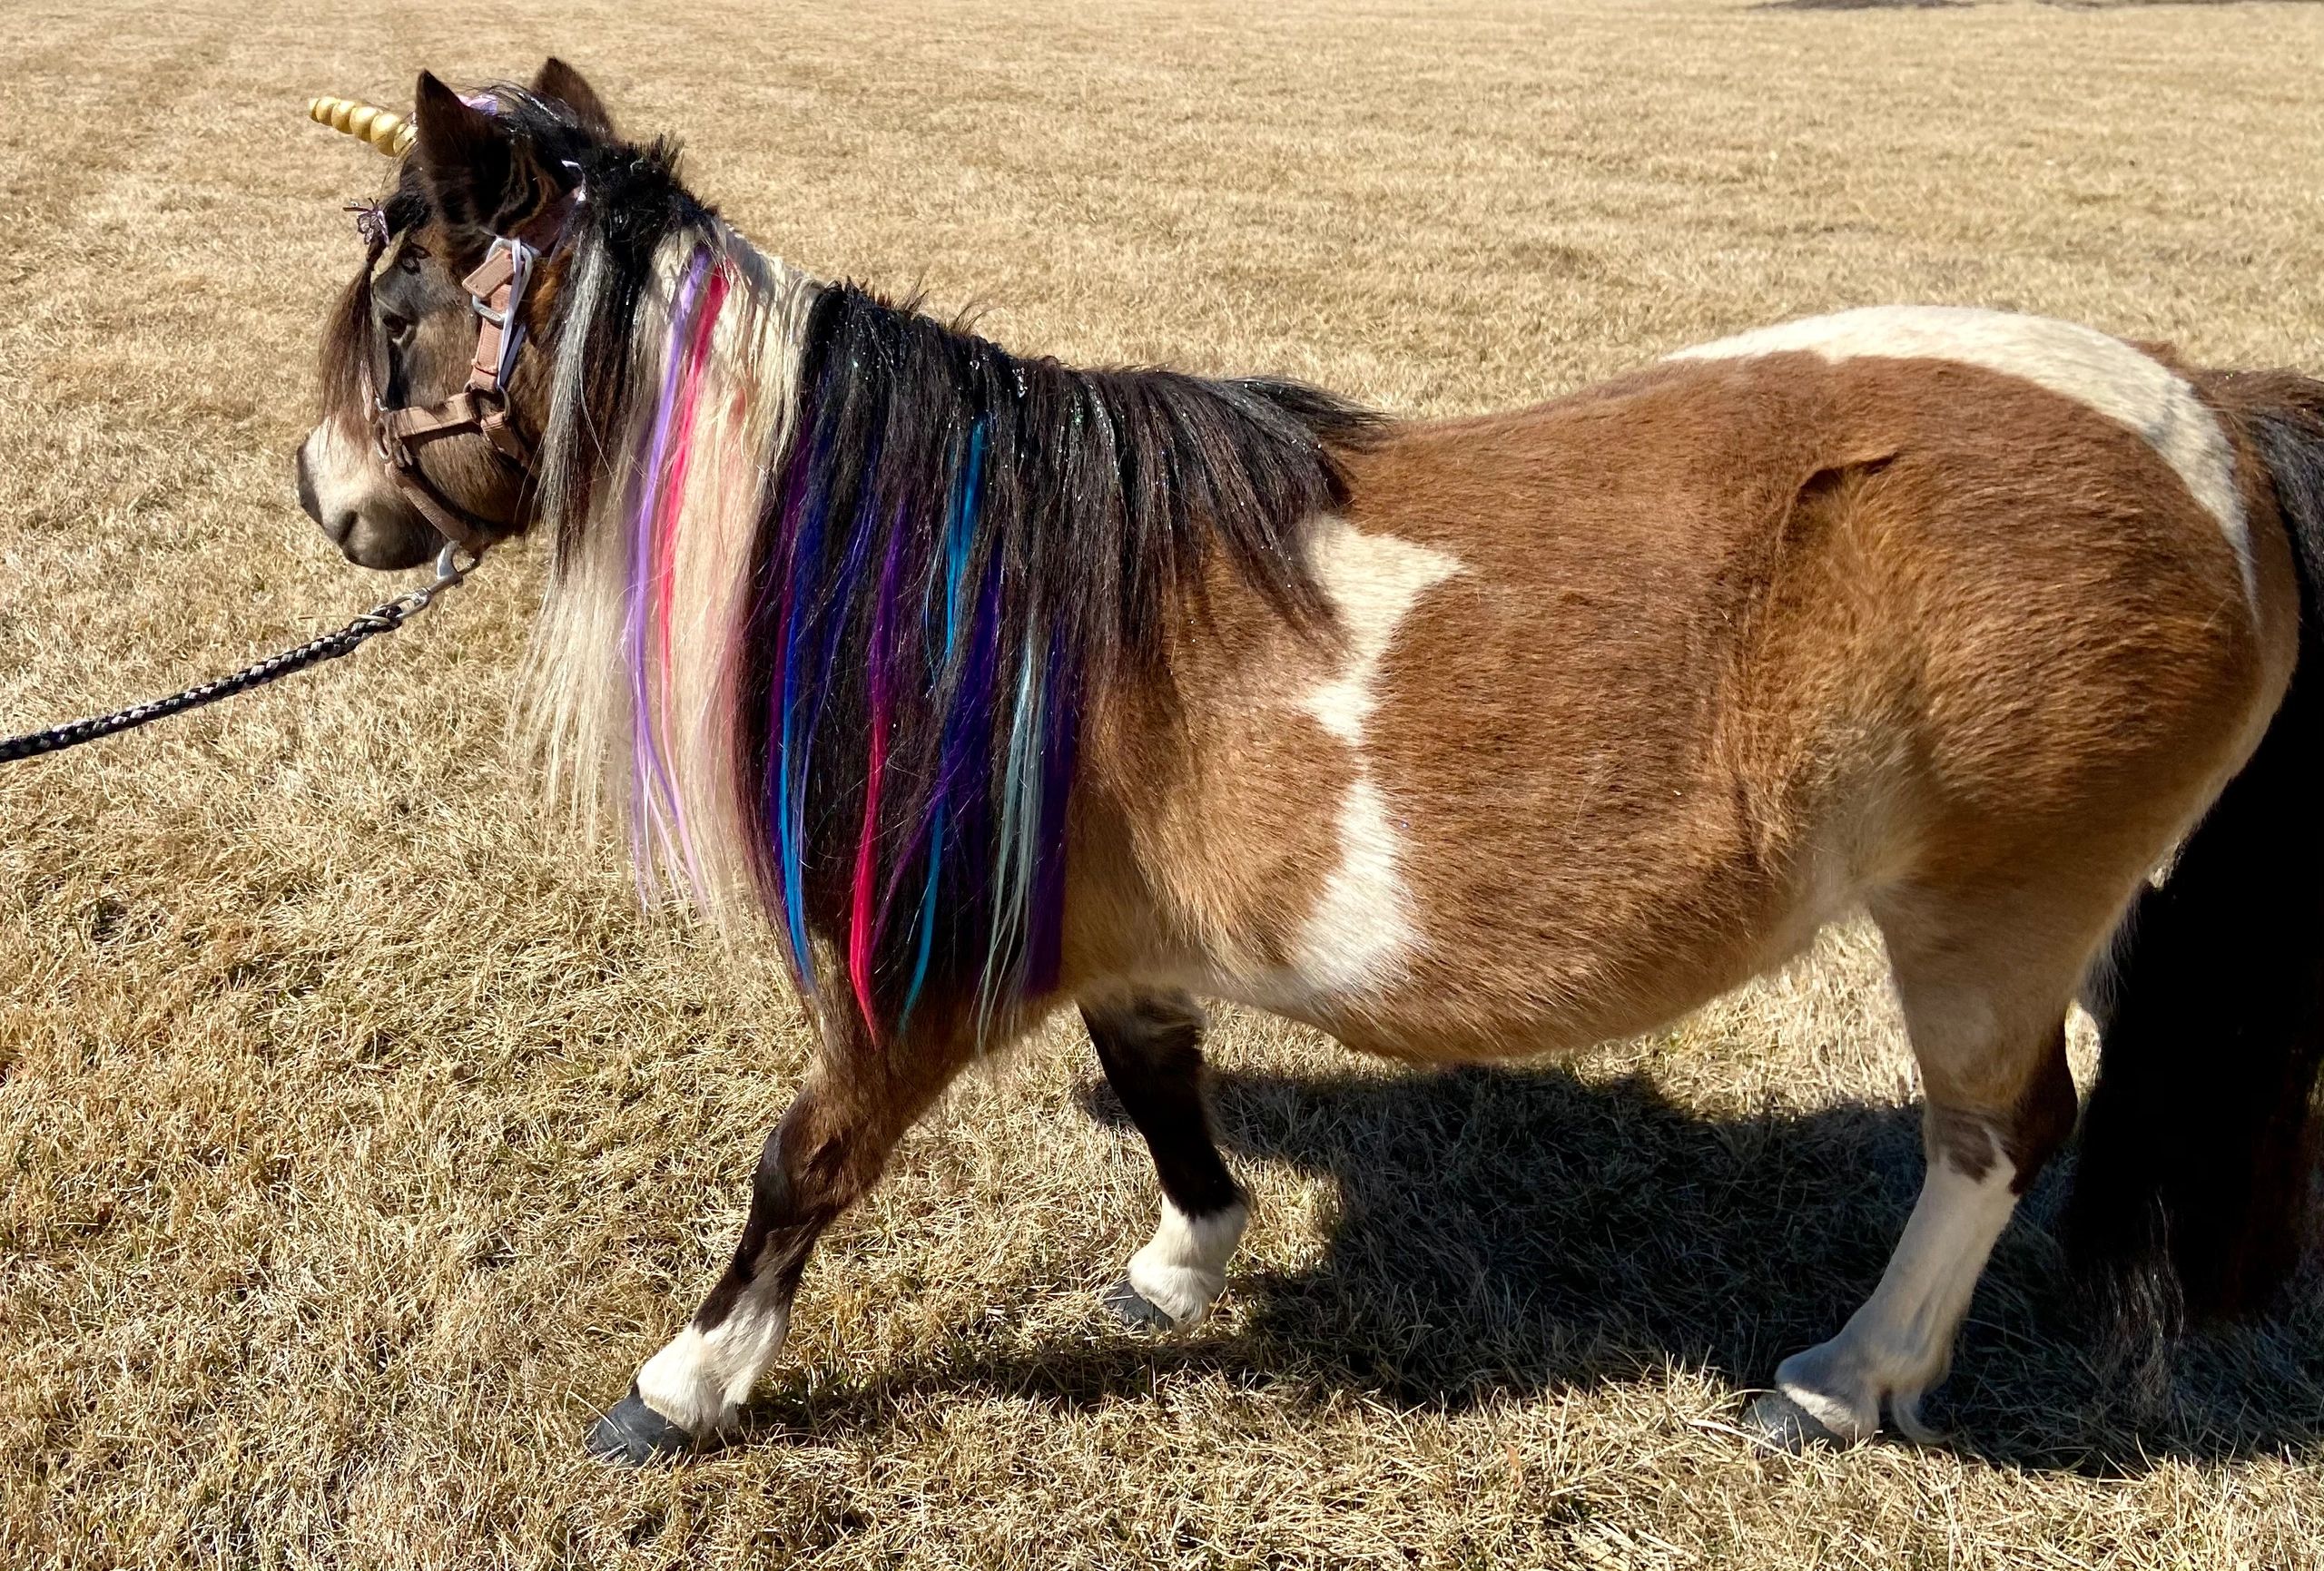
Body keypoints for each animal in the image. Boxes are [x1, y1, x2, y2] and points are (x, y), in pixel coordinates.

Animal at [295, 63, 2324, 1465]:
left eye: (400, 308)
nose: (328, 501)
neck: (970, 572)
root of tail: (2209, 416)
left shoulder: (920, 984)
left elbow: (803, 1164)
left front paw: (684, 1384)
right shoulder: (1116, 934)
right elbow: (1162, 1080)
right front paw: (1183, 1261)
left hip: (1987, 914)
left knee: (1995, 1139)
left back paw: (1843, 1381)